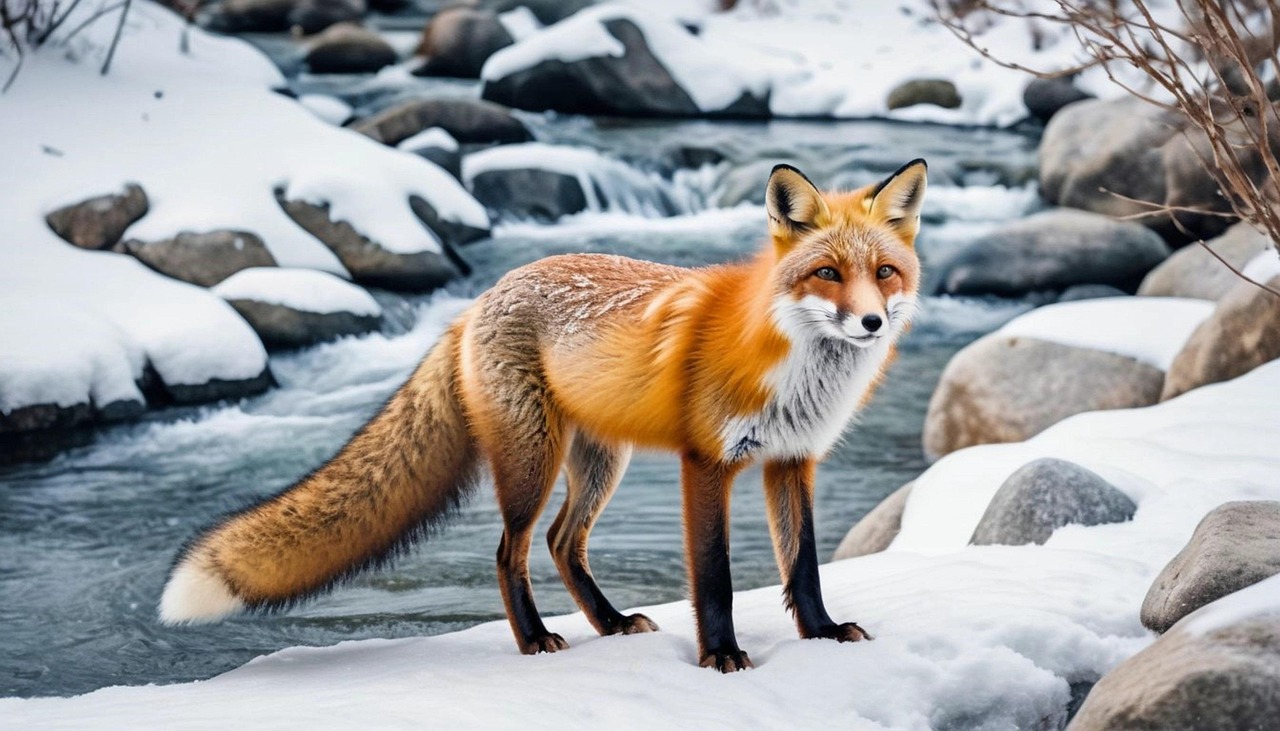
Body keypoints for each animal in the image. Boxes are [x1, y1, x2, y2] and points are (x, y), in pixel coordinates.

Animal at [159, 160, 927, 672]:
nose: (869, 322)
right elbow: (715, 577)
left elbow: (803, 565)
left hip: (600, 462)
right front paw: (722, 655)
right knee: (512, 551)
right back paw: (533, 640)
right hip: (534, 461)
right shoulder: (707, 463)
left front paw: (822, 634)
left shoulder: (792, 458)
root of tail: (478, 299)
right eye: (827, 273)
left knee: (562, 543)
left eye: (883, 273)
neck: (791, 365)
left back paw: (610, 623)